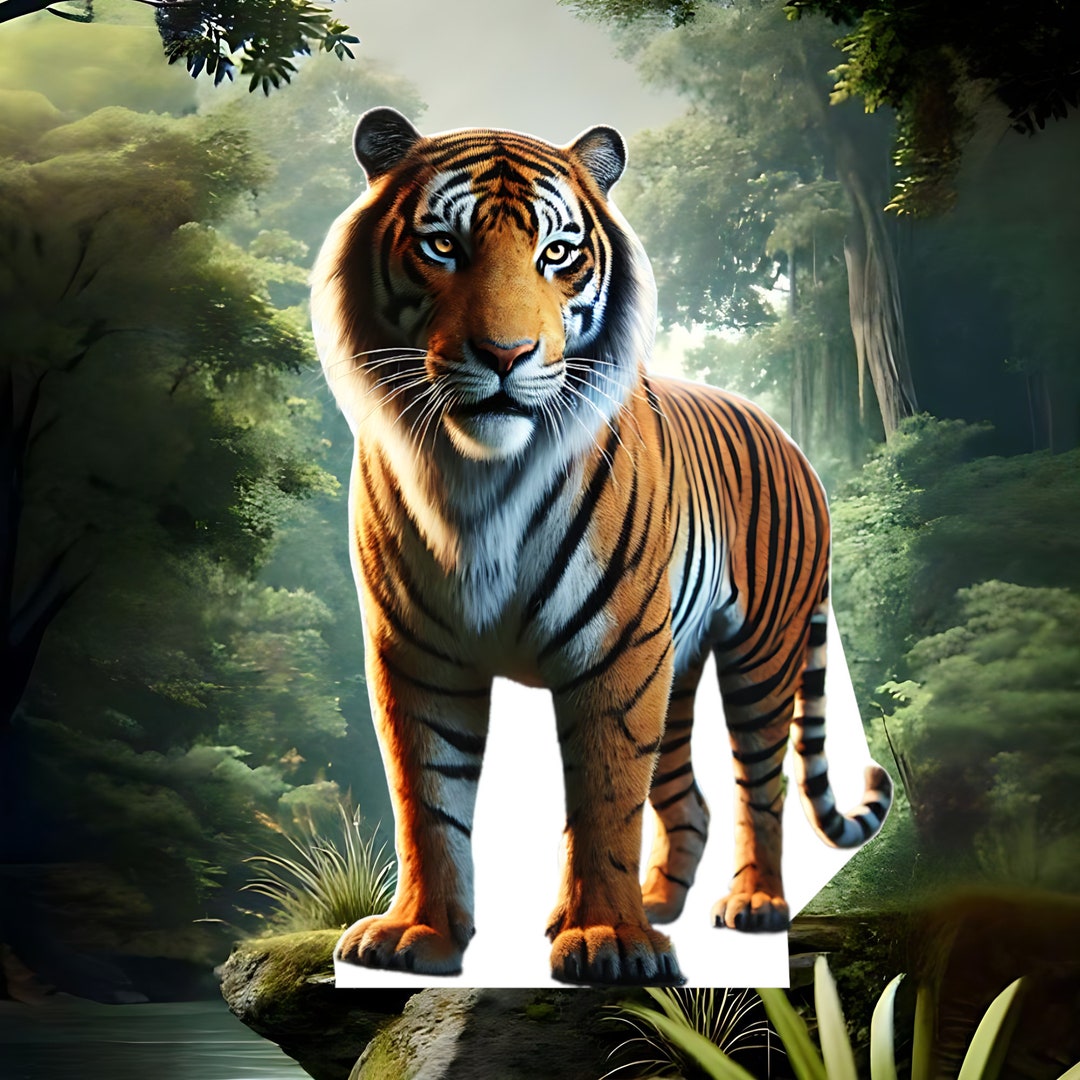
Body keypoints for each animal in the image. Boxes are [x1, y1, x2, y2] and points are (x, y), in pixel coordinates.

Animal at [310, 106, 892, 985]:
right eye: (443, 245)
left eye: (558, 254)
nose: (506, 356)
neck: (478, 478)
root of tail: (791, 439)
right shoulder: (417, 651)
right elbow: (428, 797)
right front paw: (419, 935)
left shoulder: (617, 654)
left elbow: (606, 800)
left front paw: (607, 941)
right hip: (677, 666)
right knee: (689, 798)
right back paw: (655, 903)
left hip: (758, 653)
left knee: (760, 784)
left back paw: (752, 904)